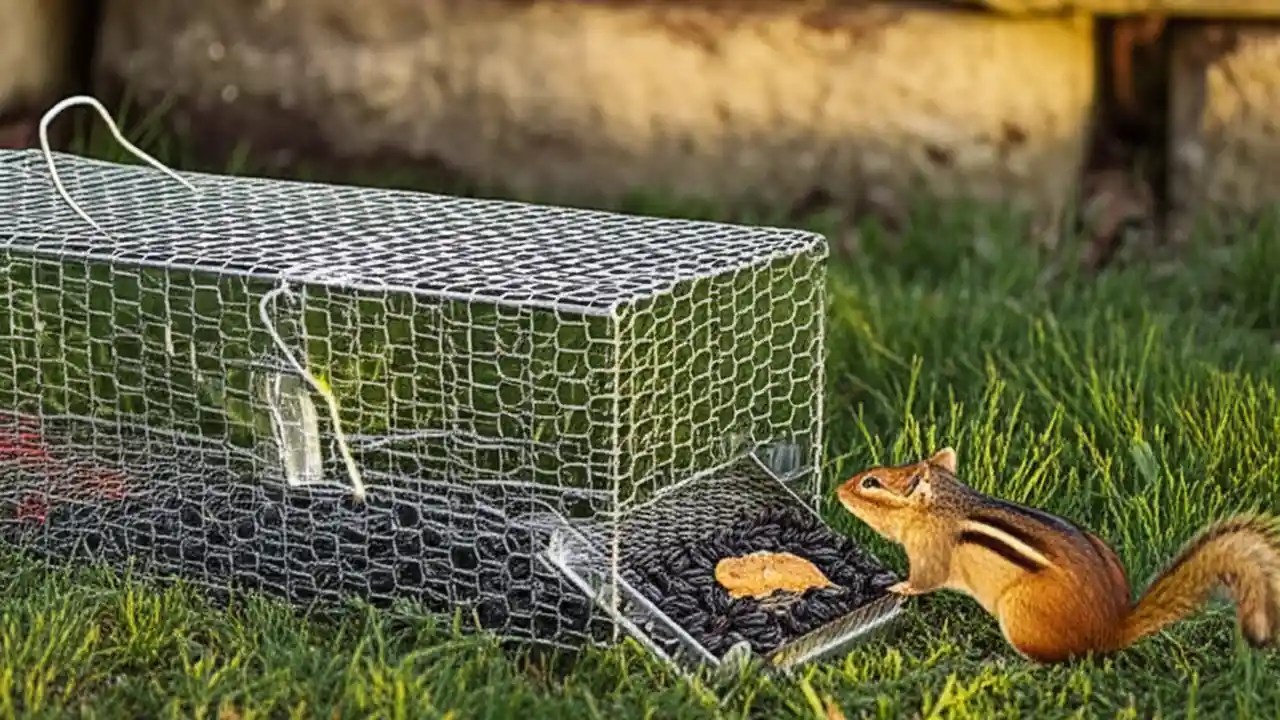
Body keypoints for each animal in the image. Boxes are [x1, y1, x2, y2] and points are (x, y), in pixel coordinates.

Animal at [835, 447, 1280, 664]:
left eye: (871, 482)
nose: (839, 490)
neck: (946, 505)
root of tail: (1112, 629)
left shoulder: (930, 553)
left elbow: (923, 579)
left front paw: (898, 586)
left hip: (1020, 616)